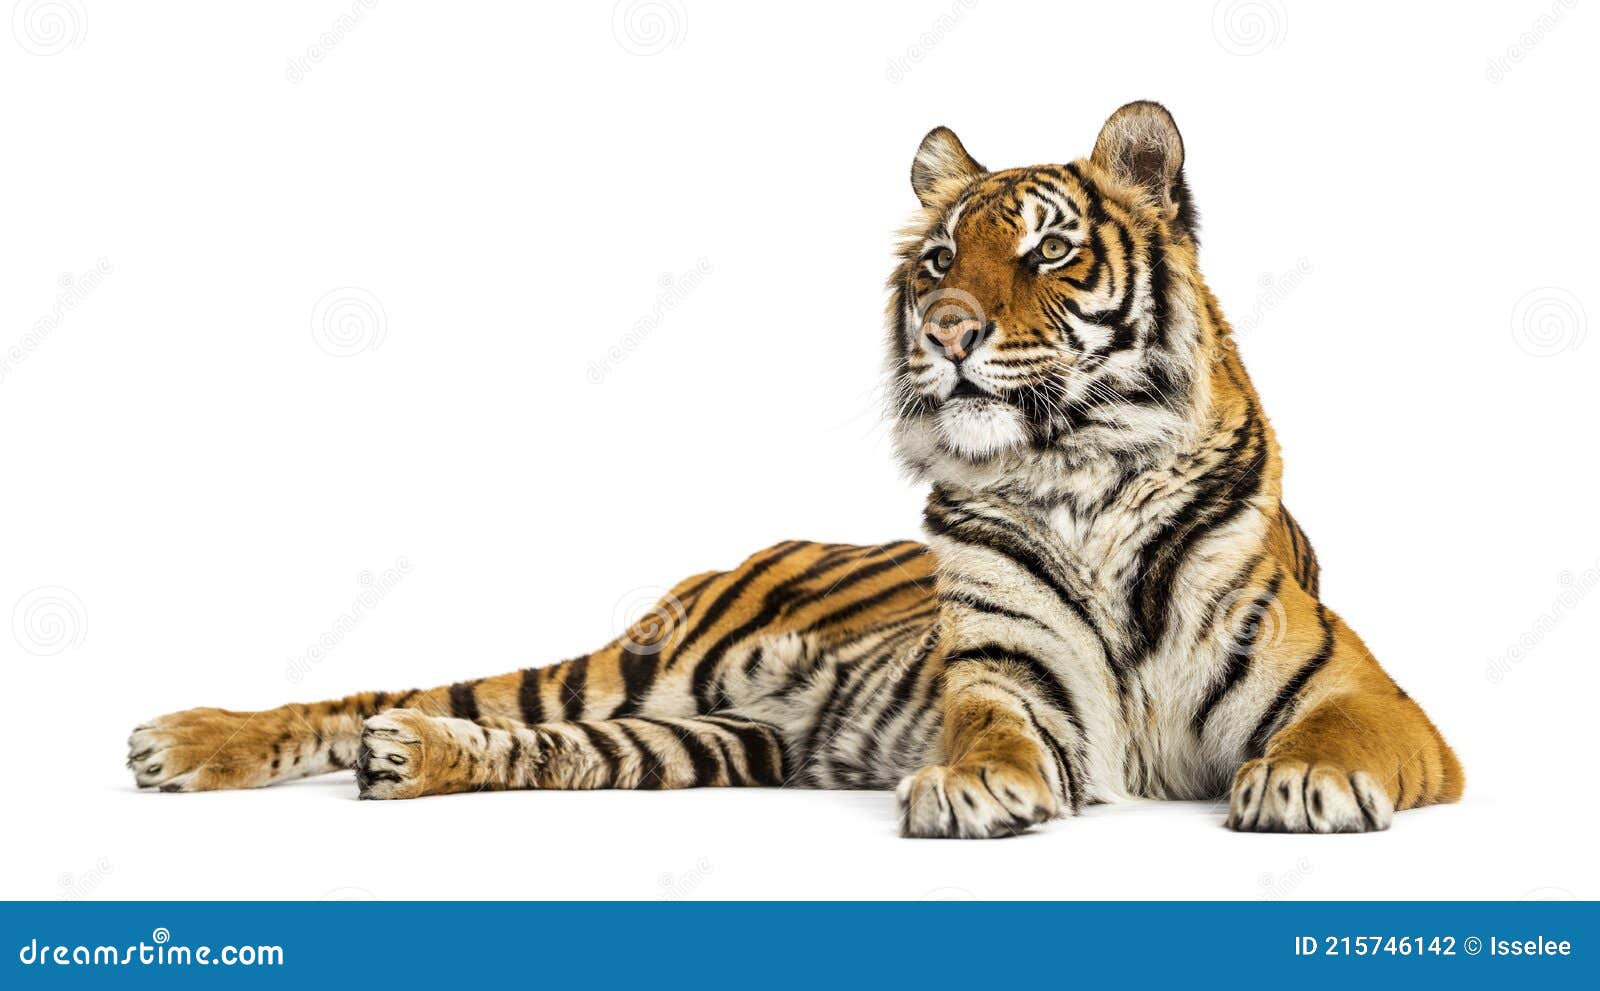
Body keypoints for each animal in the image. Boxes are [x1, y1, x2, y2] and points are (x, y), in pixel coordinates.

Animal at [128, 101, 1461, 836]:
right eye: (938, 260)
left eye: (1046, 251)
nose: (946, 330)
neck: (1076, 480)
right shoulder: (1007, 684)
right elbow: (989, 732)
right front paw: (968, 790)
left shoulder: (1372, 700)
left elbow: (1333, 737)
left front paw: (1302, 786)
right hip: (641, 665)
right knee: (398, 694)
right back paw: (193, 740)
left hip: (713, 736)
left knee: (544, 746)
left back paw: (403, 758)